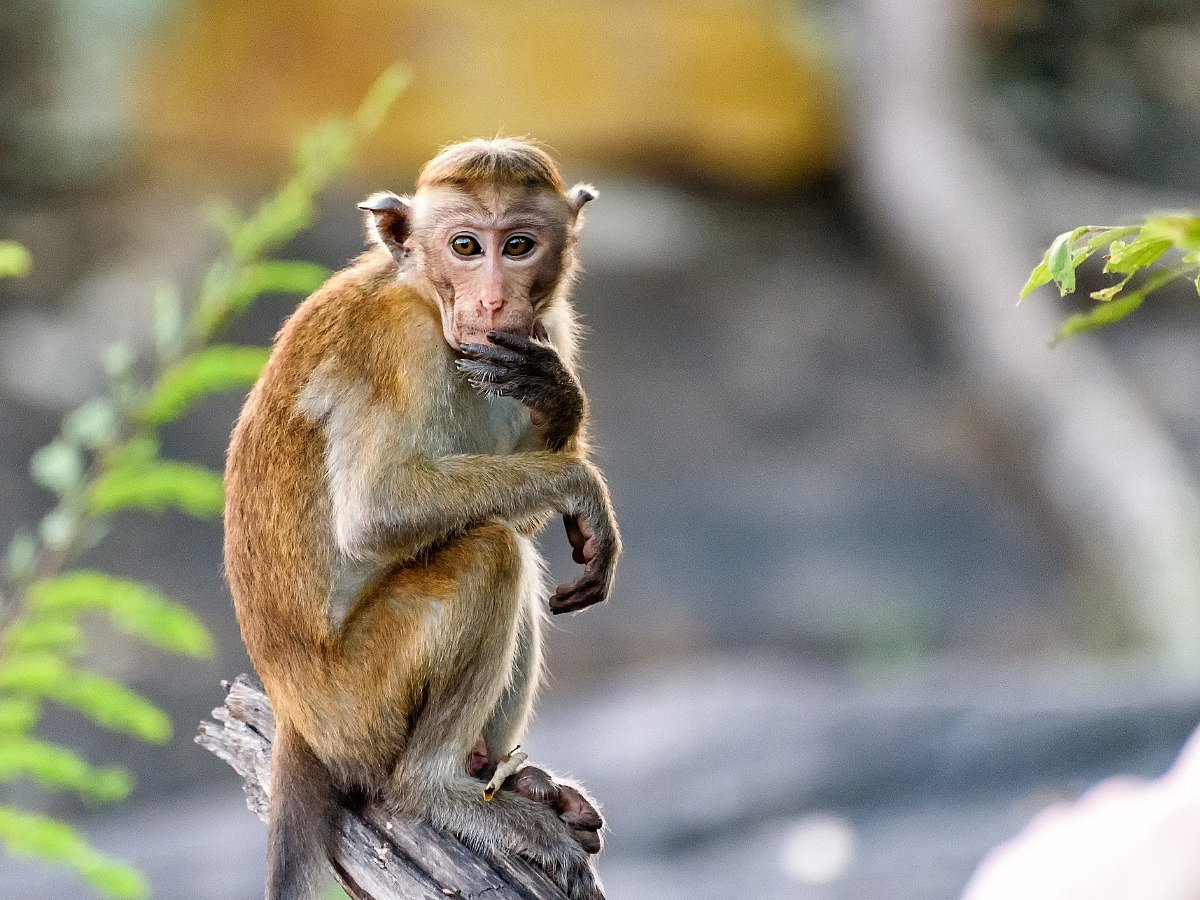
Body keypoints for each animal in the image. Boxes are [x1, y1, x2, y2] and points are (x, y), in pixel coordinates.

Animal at [223, 138, 620, 900]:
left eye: (518, 245)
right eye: (465, 246)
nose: (493, 298)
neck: (426, 295)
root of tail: (294, 720)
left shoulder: (542, 332)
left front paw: (560, 400)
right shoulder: (399, 346)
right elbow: (378, 512)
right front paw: (582, 486)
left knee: (500, 541)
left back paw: (512, 779)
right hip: (358, 705)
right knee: (489, 553)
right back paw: (435, 792)